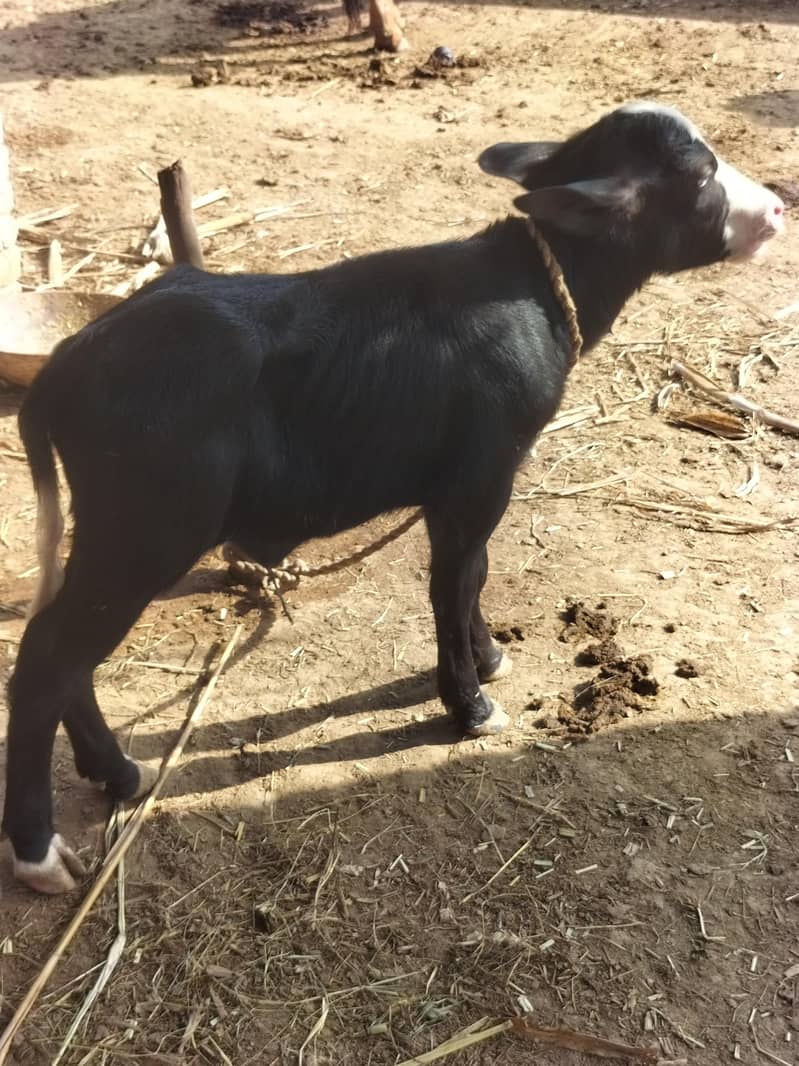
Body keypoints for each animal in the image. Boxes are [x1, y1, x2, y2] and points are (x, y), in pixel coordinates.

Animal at [2, 103, 784, 893]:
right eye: (699, 176)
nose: (779, 208)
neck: (536, 291)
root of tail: (65, 364)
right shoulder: (480, 476)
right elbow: (454, 581)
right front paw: (470, 703)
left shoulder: (463, 487)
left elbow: (474, 575)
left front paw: (488, 657)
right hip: (145, 530)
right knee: (47, 660)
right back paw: (39, 851)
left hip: (114, 532)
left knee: (65, 652)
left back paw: (118, 773)